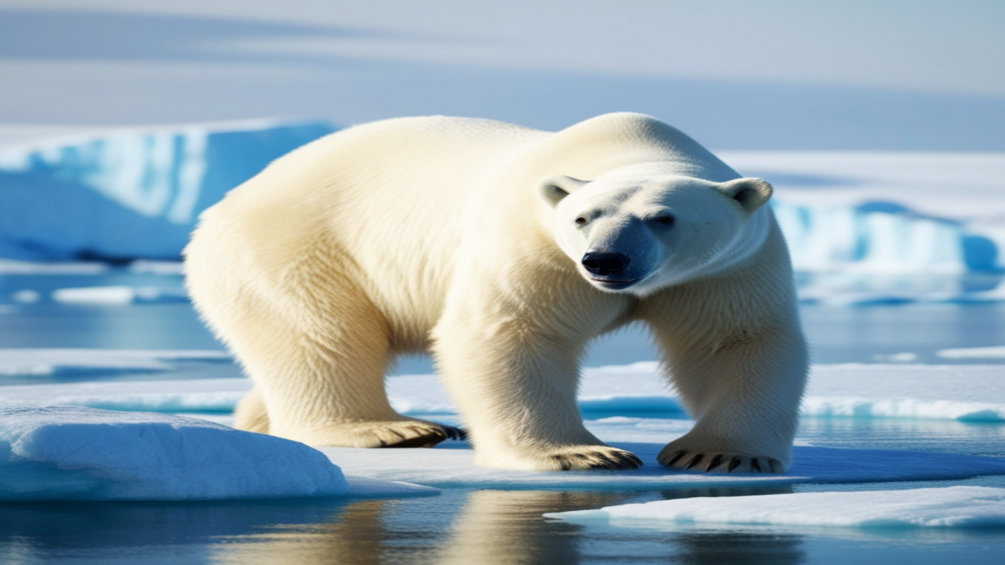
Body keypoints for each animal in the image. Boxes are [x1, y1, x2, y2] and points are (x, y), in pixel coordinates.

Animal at [184, 112, 808, 473]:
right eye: (582, 217)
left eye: (663, 218)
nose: (605, 260)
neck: (626, 147)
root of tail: (221, 207)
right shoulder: (533, 246)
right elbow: (510, 332)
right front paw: (583, 452)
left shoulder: (725, 267)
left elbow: (734, 341)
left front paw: (718, 452)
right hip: (298, 247)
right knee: (321, 334)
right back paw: (393, 429)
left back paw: (260, 423)